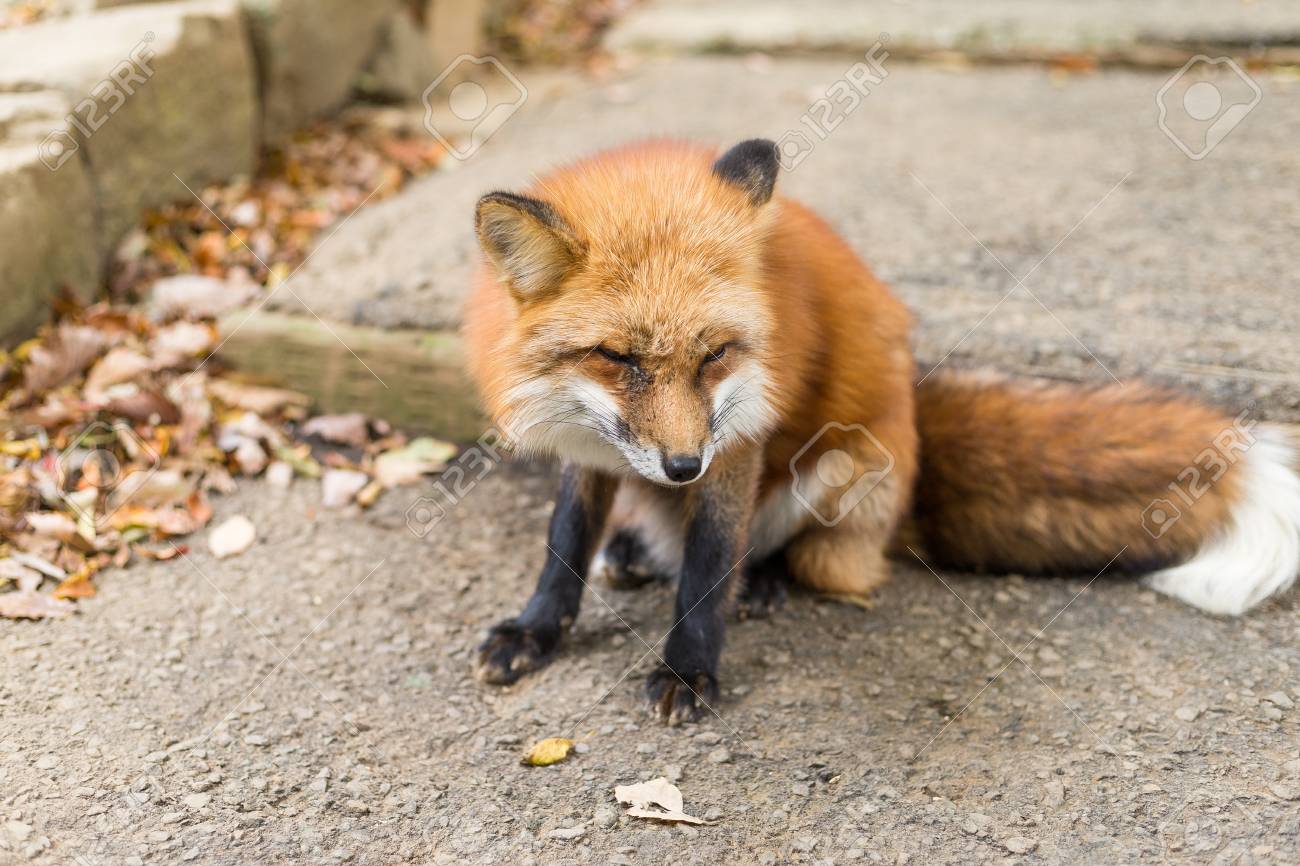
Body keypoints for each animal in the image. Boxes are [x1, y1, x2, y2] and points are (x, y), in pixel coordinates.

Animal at [462, 138, 1300, 724]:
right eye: (618, 358)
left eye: (715, 354)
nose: (681, 467)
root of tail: (918, 424)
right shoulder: (596, 446)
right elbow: (565, 541)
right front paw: (535, 633)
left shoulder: (737, 437)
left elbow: (708, 563)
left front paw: (688, 670)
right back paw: (638, 548)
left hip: (845, 466)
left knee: (810, 560)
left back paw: (761, 582)